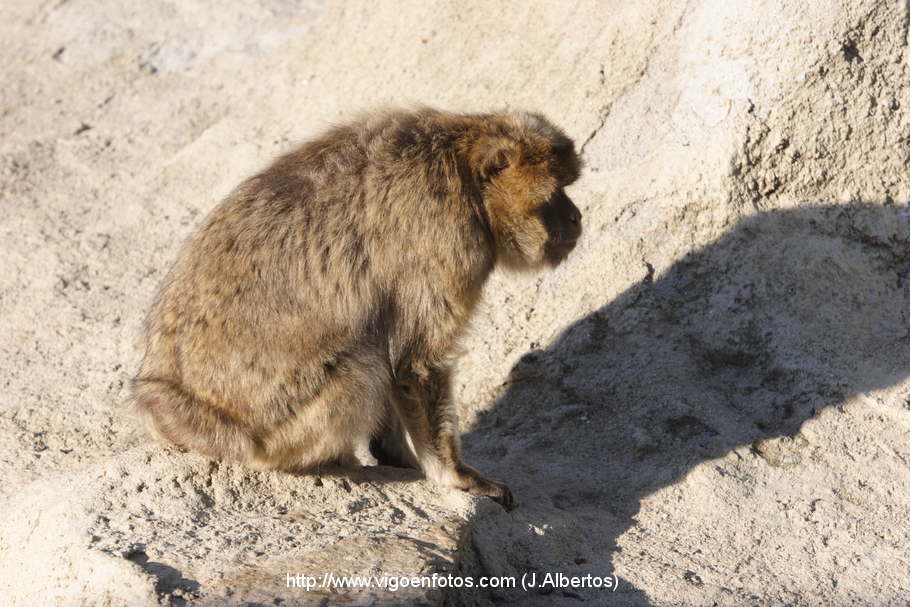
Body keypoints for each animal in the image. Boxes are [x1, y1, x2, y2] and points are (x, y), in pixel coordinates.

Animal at [131, 107, 582, 510]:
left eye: (567, 185)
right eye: (554, 193)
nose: (577, 216)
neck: (460, 165)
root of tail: (173, 415)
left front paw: (394, 452)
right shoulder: (445, 238)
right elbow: (415, 361)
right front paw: (456, 476)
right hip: (271, 434)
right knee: (364, 361)